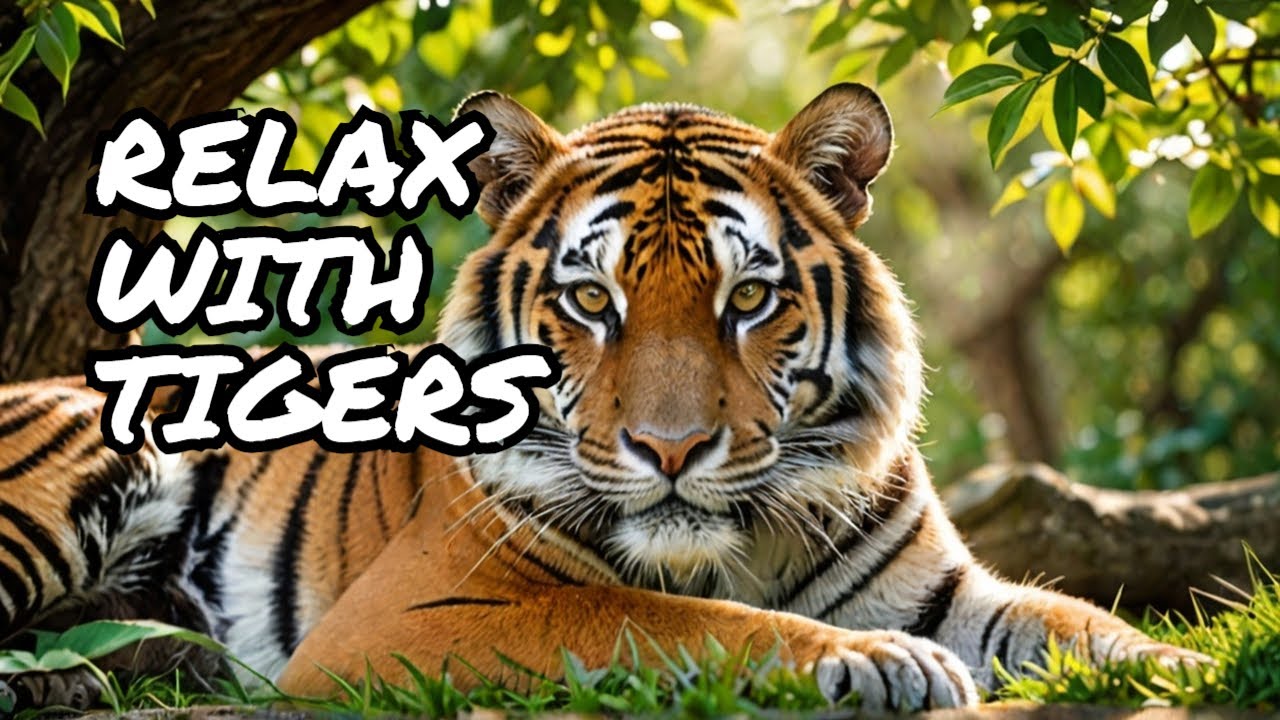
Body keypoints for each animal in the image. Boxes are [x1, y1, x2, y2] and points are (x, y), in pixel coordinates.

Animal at [0, 83, 1206, 713]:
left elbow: (1077, 620)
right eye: (591, 298)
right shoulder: (408, 616)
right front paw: (870, 662)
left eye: (747, 296)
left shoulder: (944, 587)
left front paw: (1187, 664)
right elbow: (665, 616)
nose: (670, 451)